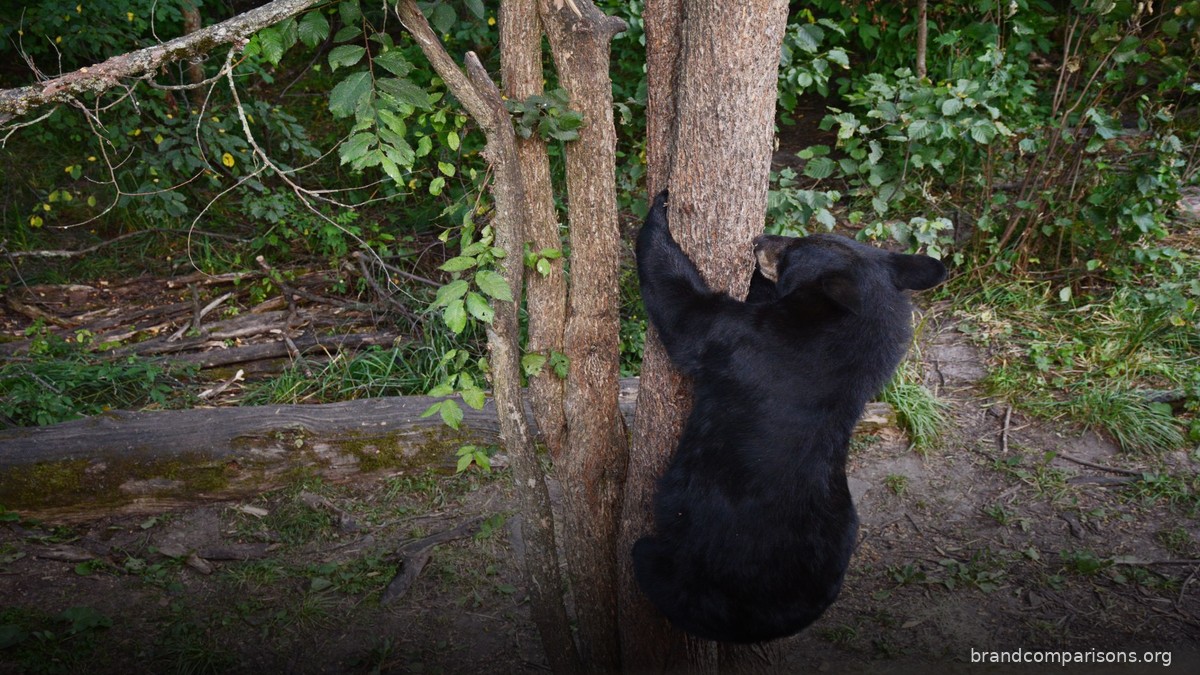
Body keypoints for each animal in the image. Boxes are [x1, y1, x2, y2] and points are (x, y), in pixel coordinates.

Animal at [632, 189, 946, 643]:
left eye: (794, 249)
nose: (759, 239)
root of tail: (770, 622)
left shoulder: (752, 344)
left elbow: (689, 314)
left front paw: (659, 210)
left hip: (696, 573)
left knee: (655, 568)